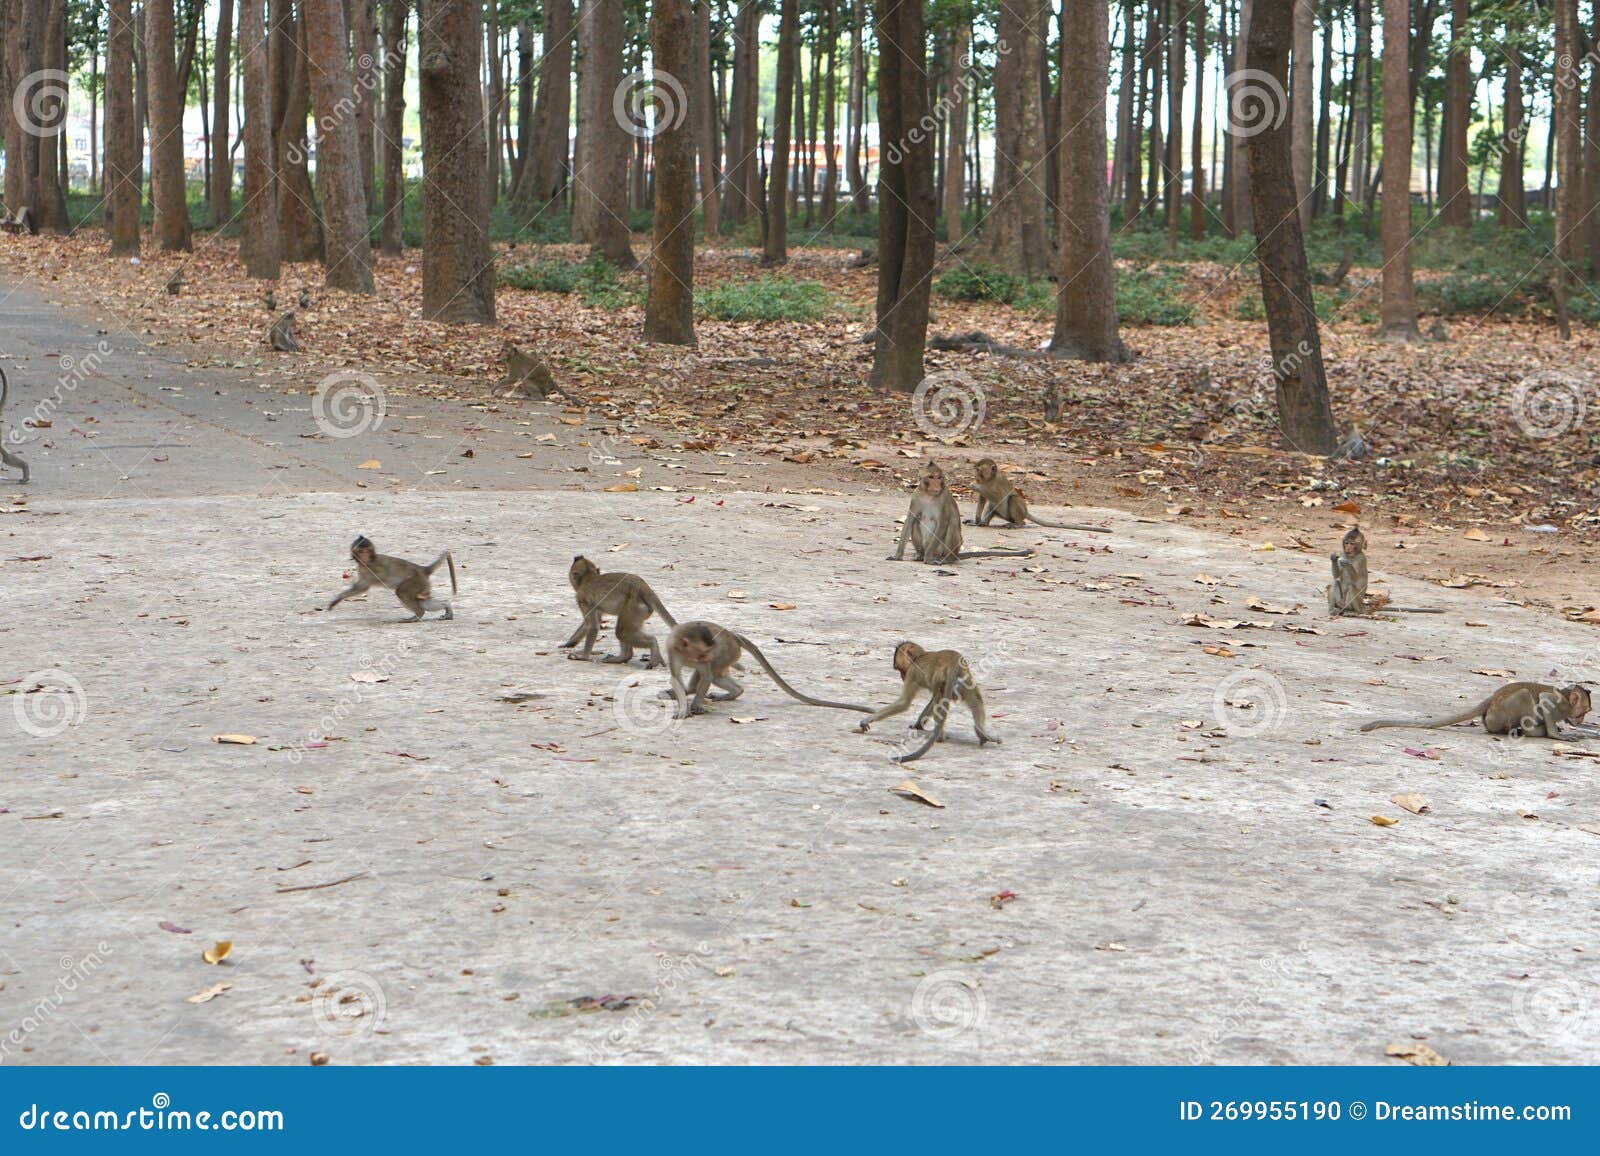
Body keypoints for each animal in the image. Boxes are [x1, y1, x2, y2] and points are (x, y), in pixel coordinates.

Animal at [326, 535, 457, 621]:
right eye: (361, 550)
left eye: (367, 550)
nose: (364, 556)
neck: (369, 562)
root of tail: (423, 569)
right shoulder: (363, 569)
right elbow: (360, 587)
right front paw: (337, 599)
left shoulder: (372, 569)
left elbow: (364, 587)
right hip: (421, 584)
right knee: (423, 601)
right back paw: (445, 606)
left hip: (415, 581)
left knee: (402, 592)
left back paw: (417, 615)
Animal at [664, 620, 873, 719]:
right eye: (701, 653)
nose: (706, 657)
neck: (685, 652)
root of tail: (735, 637)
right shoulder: (673, 650)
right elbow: (676, 677)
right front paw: (684, 705)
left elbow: (706, 674)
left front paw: (695, 705)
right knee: (714, 675)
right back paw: (733, 691)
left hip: (728, 653)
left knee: (712, 673)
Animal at [856, 641, 1001, 764]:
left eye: (899, 669)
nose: (902, 677)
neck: (919, 657)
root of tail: (954, 663)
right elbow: (931, 703)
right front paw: (918, 724)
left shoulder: (912, 673)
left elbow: (904, 702)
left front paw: (868, 719)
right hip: (965, 682)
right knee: (976, 701)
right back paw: (982, 734)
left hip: (943, 680)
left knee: (939, 703)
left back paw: (939, 737)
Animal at [889, 461, 1032, 564]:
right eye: (931, 477)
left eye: (939, 477)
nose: (937, 485)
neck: (928, 495)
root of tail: (956, 554)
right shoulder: (916, 498)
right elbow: (910, 521)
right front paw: (897, 556)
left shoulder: (943, 500)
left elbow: (943, 522)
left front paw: (928, 559)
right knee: (916, 523)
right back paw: (920, 554)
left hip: (947, 549)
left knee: (951, 525)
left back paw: (945, 559)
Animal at [969, 458, 1111, 534]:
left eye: (979, 470)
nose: (975, 476)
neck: (989, 479)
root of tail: (1025, 513)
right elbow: (984, 499)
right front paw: (976, 520)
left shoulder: (996, 484)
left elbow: (997, 497)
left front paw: (974, 486)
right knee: (993, 505)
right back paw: (984, 523)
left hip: (1016, 512)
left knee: (1013, 499)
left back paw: (1019, 524)